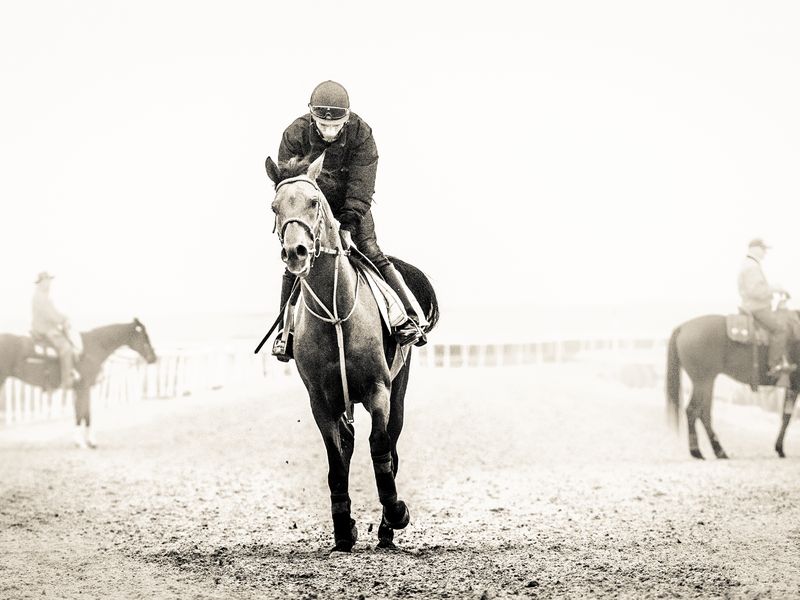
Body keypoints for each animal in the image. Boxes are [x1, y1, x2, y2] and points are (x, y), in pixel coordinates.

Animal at [0, 319, 157, 447]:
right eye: (145, 336)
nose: (154, 358)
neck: (93, 347)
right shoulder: (84, 387)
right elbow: (84, 414)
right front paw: (84, 442)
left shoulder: (80, 389)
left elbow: (82, 414)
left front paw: (85, 441)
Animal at [265, 152, 439, 552]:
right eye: (274, 207)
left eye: (314, 202)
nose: (295, 252)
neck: (336, 312)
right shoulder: (321, 400)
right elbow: (336, 459)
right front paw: (344, 528)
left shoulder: (378, 389)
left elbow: (380, 446)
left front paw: (395, 513)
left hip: (399, 388)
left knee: (391, 442)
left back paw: (387, 529)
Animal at [666, 313, 799, 459]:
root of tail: (683, 327)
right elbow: (787, 417)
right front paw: (780, 449)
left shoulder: (792, 387)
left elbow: (786, 416)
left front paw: (779, 448)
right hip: (703, 381)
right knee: (696, 411)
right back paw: (706, 450)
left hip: (705, 382)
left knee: (700, 412)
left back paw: (710, 450)